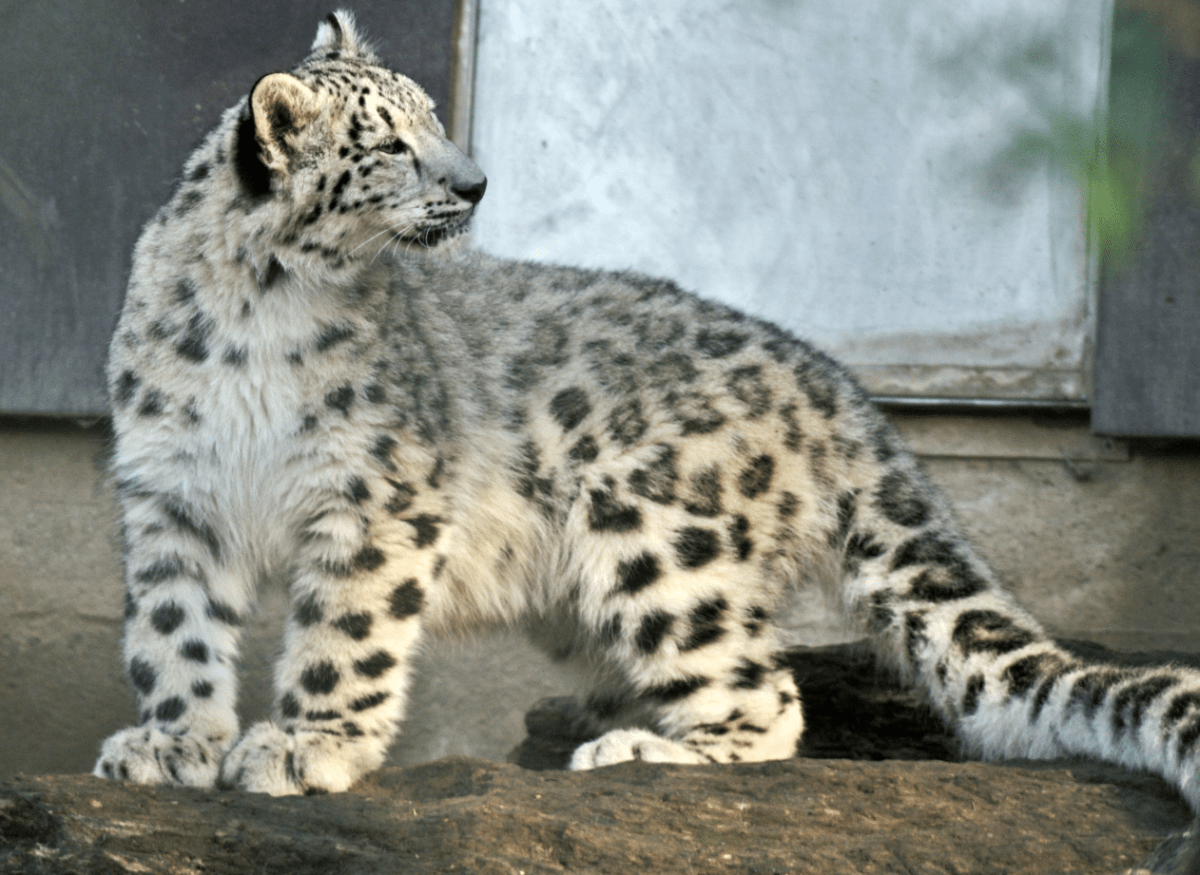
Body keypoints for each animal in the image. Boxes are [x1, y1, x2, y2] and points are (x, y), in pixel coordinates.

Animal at [95, 10, 1200, 806]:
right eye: (393, 144)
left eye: (435, 123)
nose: (476, 180)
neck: (260, 306)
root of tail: (834, 382)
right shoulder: (170, 489)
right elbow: (174, 625)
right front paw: (171, 741)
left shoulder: (374, 493)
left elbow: (346, 628)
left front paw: (304, 743)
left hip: (660, 537)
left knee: (769, 694)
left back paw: (641, 752)